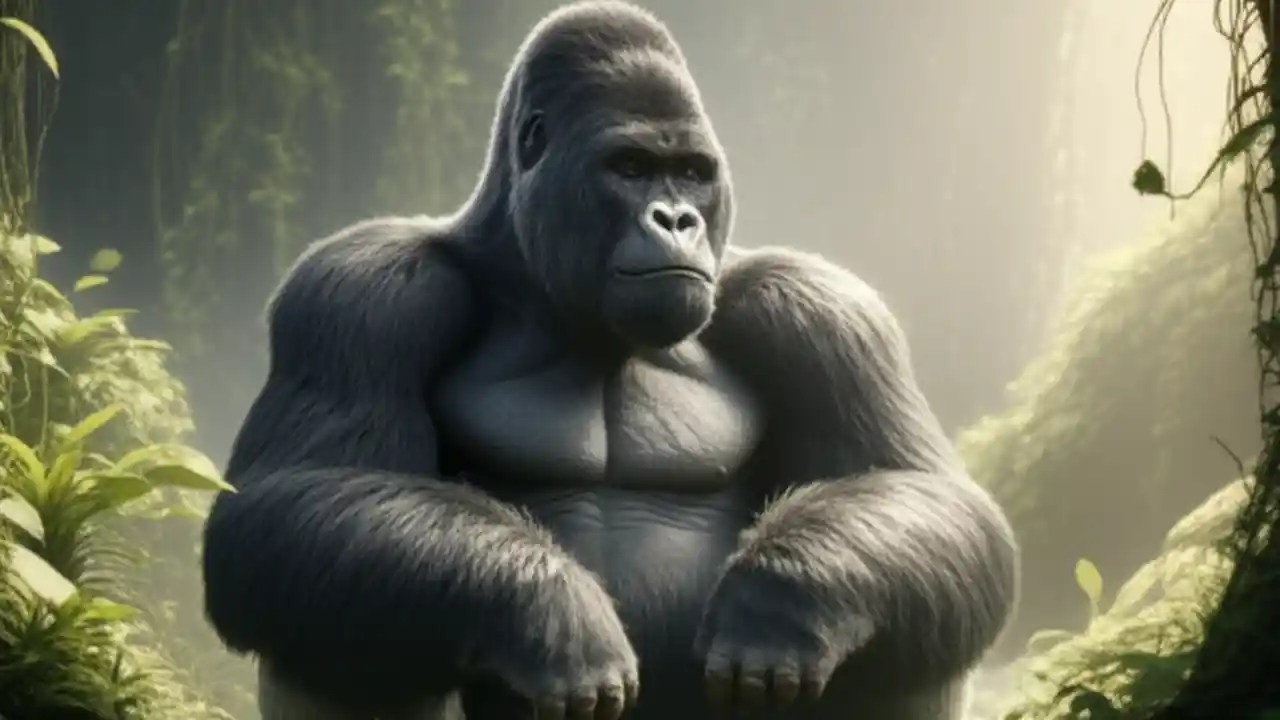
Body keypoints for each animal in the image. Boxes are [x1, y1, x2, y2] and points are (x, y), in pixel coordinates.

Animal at [200, 2, 1019, 719]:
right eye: (628, 167)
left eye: (691, 173)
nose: (677, 220)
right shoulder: (362, 292)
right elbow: (285, 499)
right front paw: (546, 611)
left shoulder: (818, 309)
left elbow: (920, 488)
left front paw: (784, 598)